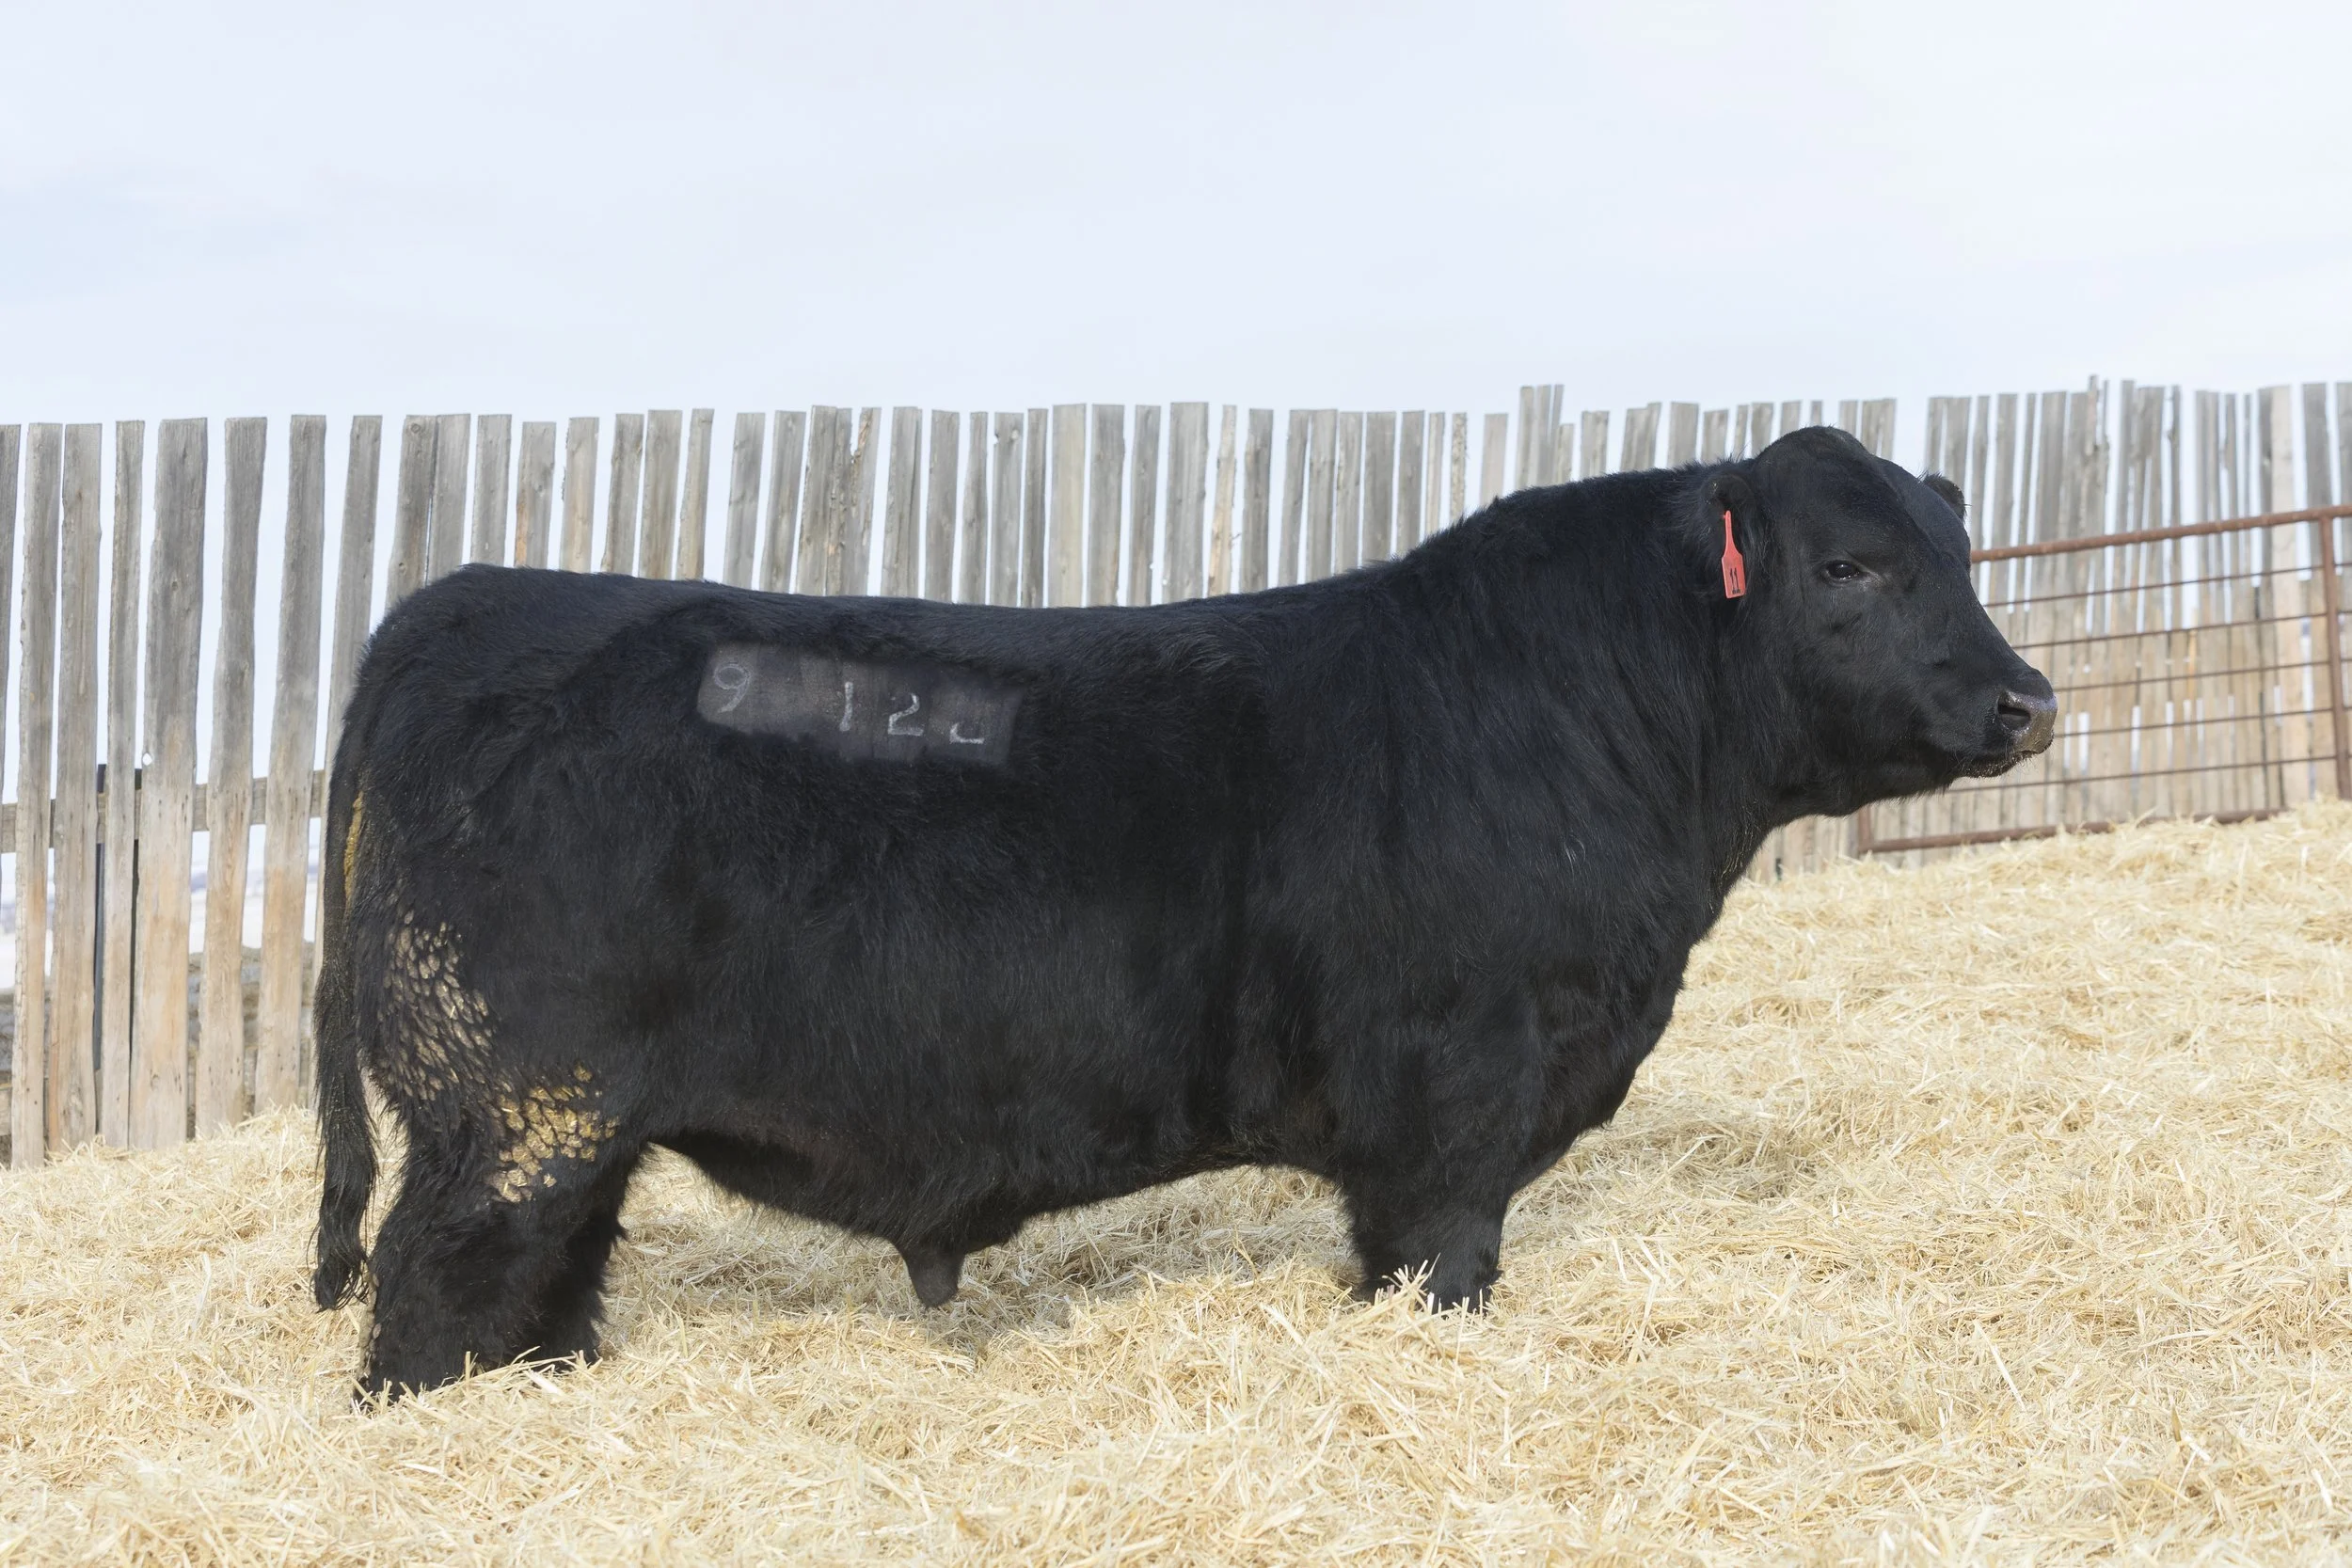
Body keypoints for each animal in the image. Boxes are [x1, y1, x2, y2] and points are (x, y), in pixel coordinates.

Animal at [312, 425, 2055, 1397]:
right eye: (1849, 566)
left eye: (1957, 549)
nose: (2029, 699)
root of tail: (465, 597)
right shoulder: (1454, 1102)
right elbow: (1439, 1259)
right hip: (509, 1111)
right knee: (426, 1292)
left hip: (569, 1131)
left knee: (546, 1284)